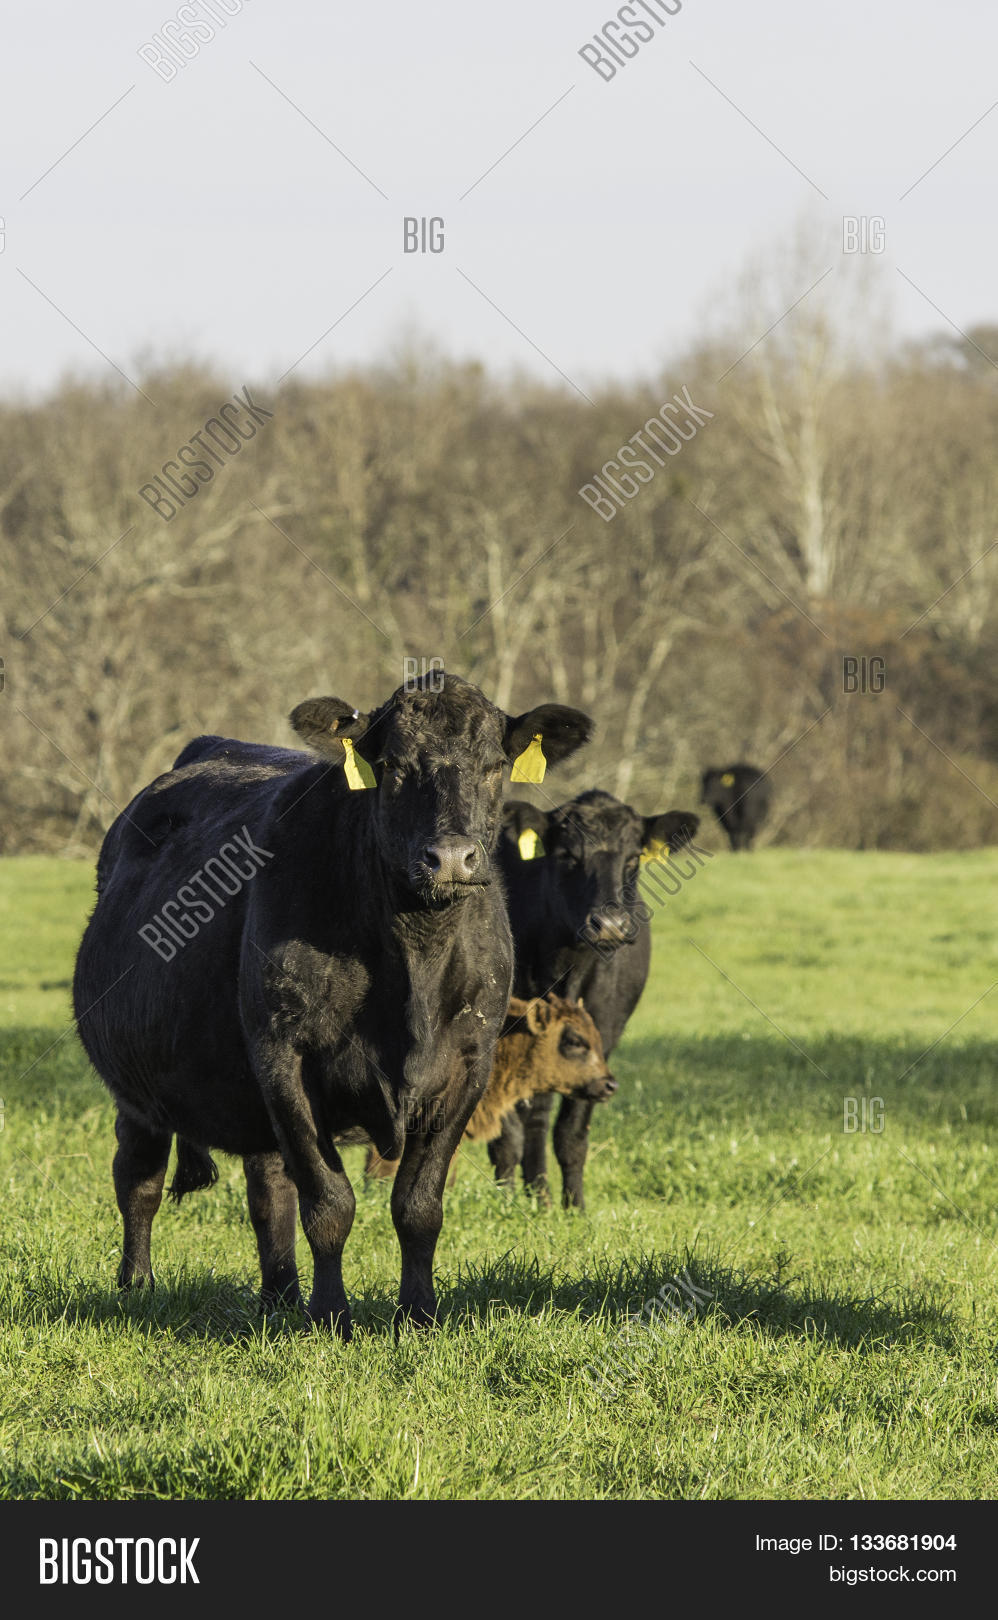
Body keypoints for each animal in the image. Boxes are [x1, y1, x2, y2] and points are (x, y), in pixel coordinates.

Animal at [72, 672, 591, 1339]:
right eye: (392, 765)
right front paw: (331, 1317)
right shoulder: (285, 1058)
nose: (451, 858)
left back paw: (278, 1297)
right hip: (138, 1086)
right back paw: (138, 1284)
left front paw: (418, 1314)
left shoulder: (468, 1068)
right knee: (138, 1177)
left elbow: (418, 1205)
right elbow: (328, 1203)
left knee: (268, 1190)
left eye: (495, 765)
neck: (415, 960)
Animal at [491, 790, 700, 1209]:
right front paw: (505, 1201)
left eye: (633, 858)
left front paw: (574, 1207)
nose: (610, 925)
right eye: (568, 855)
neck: (561, 971)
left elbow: (571, 1130)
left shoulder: (603, 1033)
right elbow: (508, 1133)